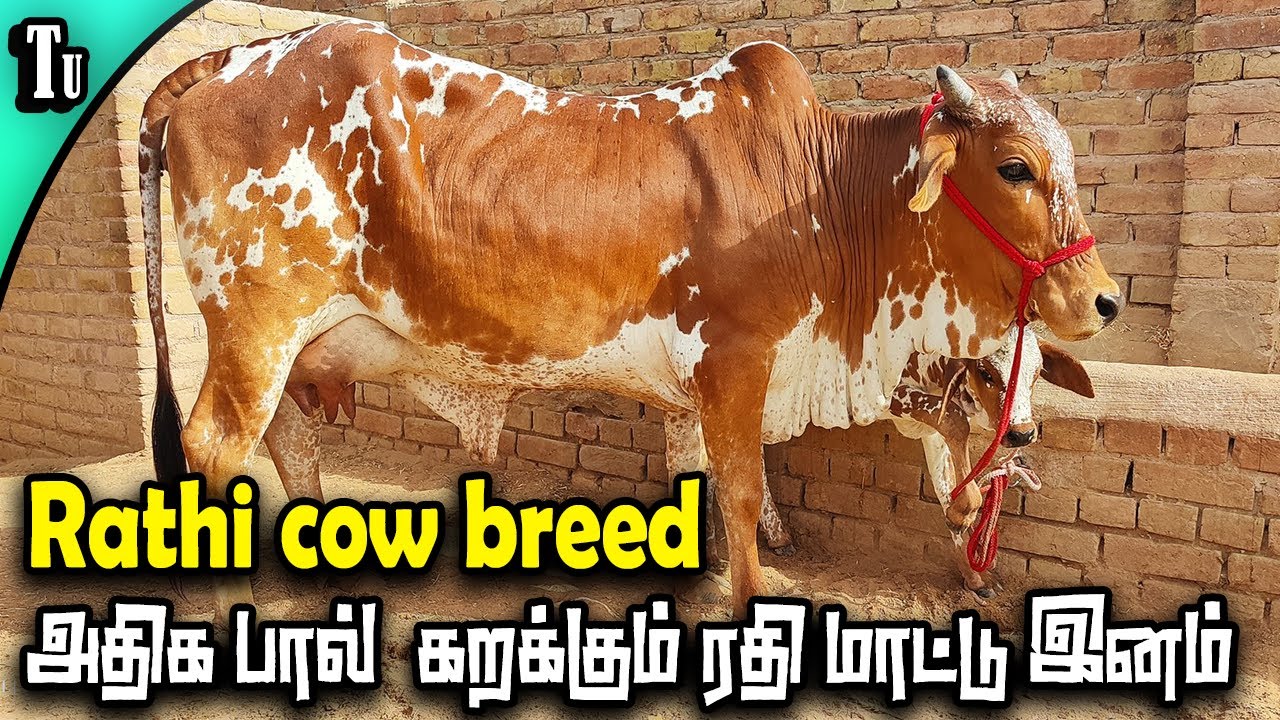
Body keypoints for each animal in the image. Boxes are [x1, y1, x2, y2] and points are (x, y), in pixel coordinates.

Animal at [138, 20, 1122, 623]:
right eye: (1016, 167)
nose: (1103, 299)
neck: (820, 194)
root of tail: (231, 57)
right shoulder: (735, 362)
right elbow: (742, 494)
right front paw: (745, 602)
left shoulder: (696, 391)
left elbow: (699, 482)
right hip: (253, 331)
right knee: (214, 449)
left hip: (291, 351)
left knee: (292, 447)